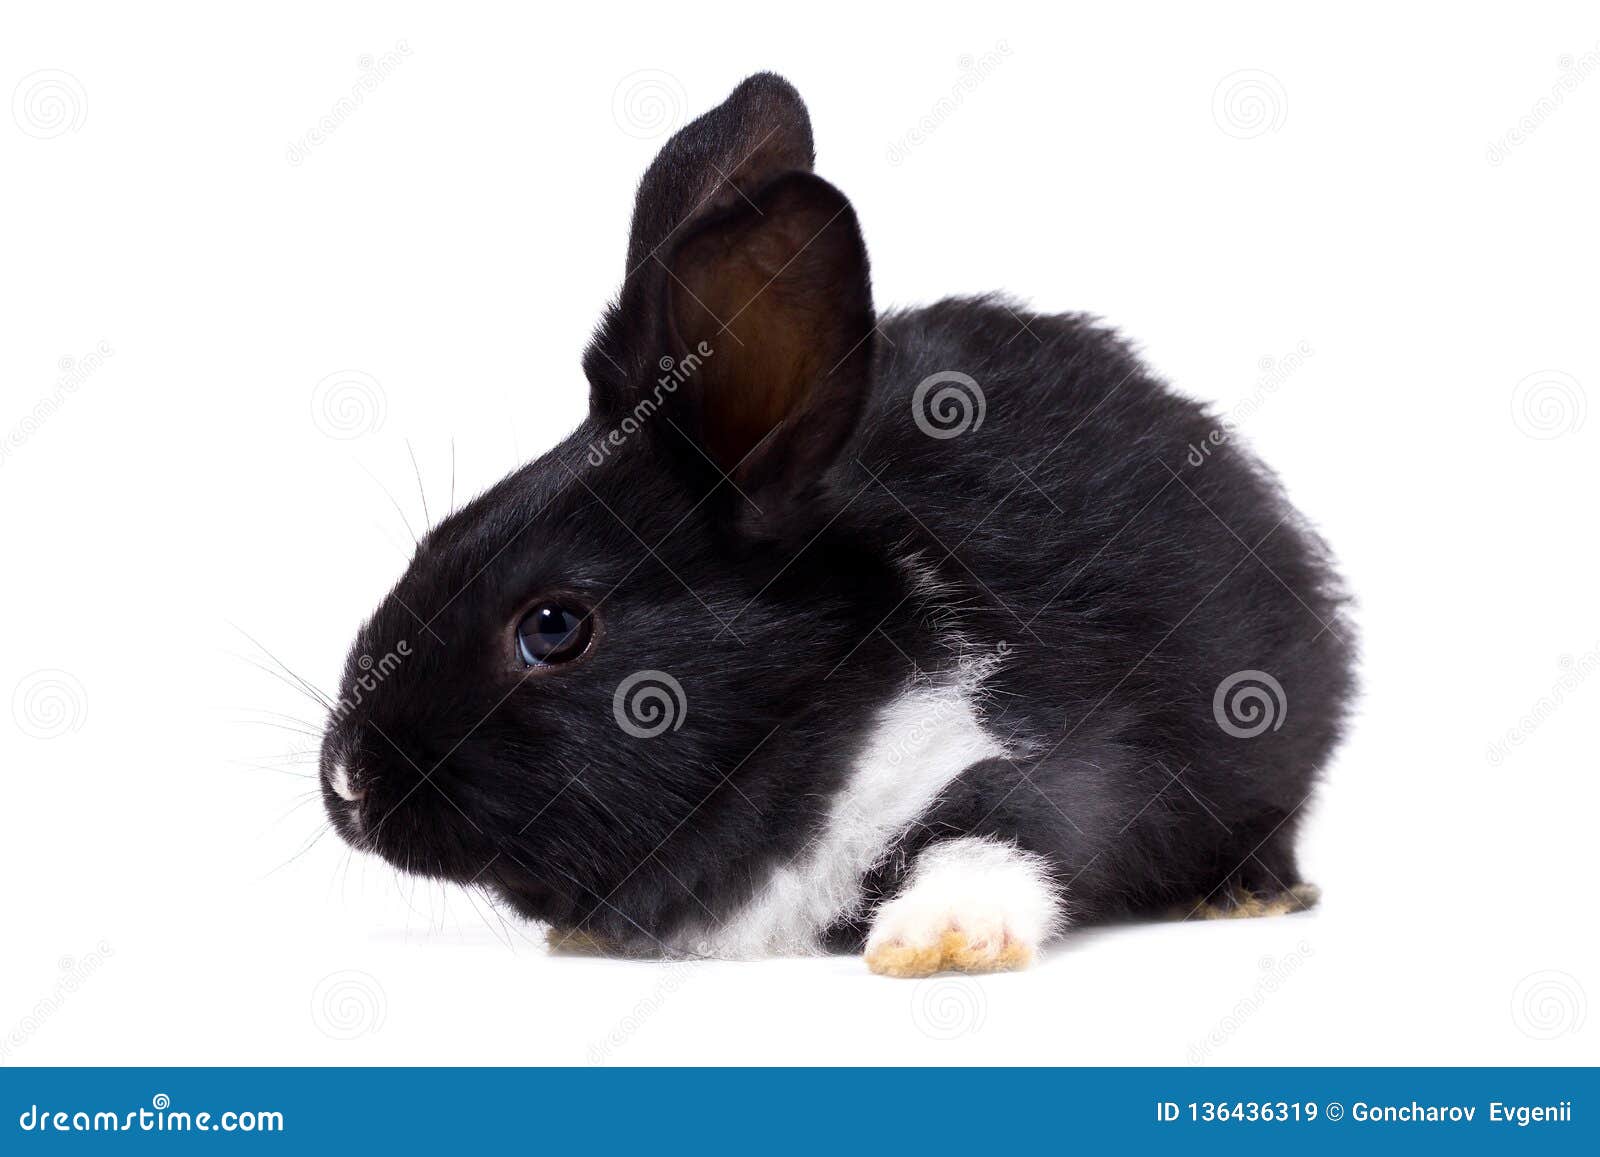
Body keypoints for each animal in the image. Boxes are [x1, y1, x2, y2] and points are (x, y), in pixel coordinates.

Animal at [318, 72, 1355, 977]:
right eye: (432, 544)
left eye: (553, 626)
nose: (348, 785)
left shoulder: (1028, 754)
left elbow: (1002, 842)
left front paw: (936, 945)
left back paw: (1248, 895)